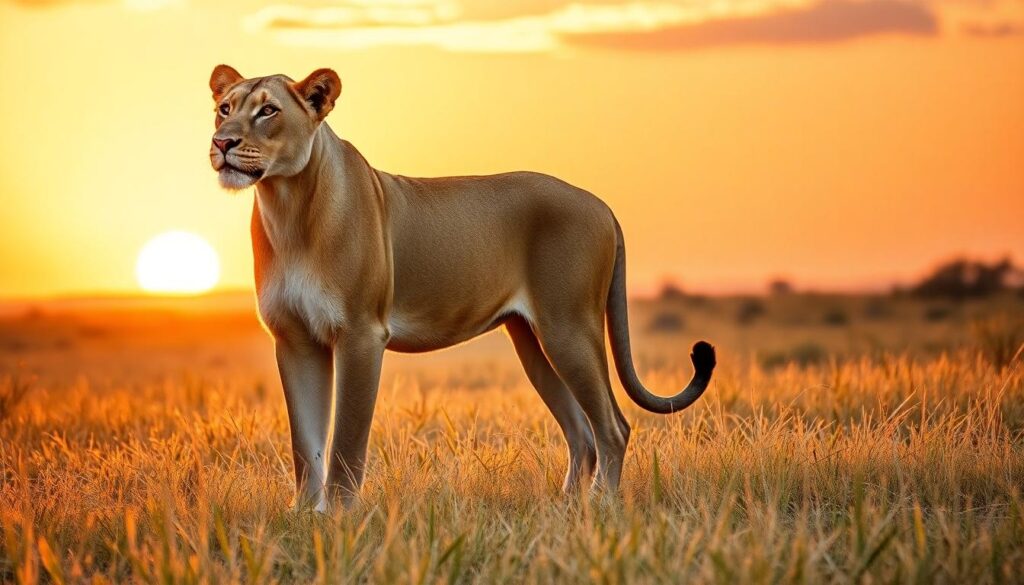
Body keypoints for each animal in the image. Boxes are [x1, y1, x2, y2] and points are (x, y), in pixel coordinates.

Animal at [208, 65, 716, 510]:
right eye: (224, 107)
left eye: (268, 110)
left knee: (612, 426)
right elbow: (306, 442)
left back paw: (601, 508)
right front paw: (303, 517)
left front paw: (337, 519)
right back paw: (567, 510)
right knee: (581, 431)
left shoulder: (360, 334)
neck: (288, 207)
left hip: (569, 328)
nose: (222, 141)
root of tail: (602, 205)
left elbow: (346, 442)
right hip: (533, 340)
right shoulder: (295, 339)